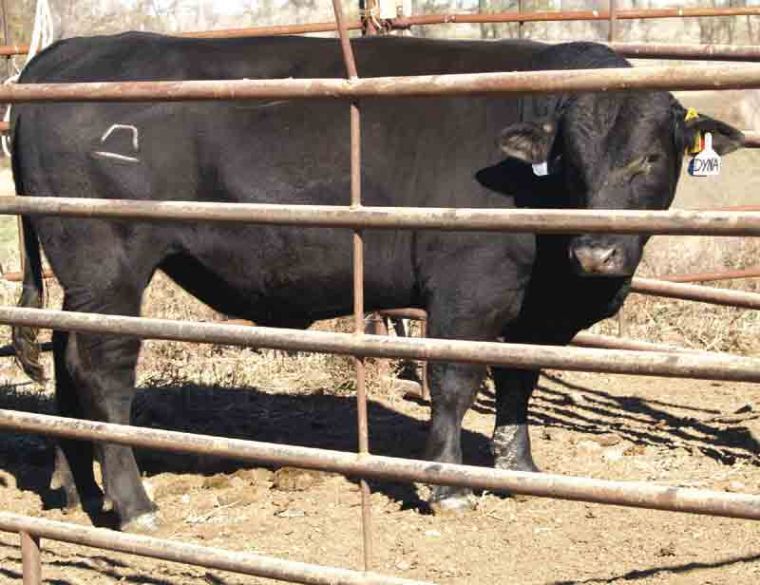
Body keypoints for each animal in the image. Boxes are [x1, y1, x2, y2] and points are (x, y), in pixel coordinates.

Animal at [10, 34, 742, 530]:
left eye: (651, 157)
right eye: (570, 157)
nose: (595, 252)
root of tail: (60, 57)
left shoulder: (535, 312)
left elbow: (517, 380)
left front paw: (519, 469)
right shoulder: (467, 290)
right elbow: (454, 381)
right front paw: (446, 484)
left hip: (83, 279)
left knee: (66, 356)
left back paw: (77, 488)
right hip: (110, 264)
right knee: (103, 369)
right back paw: (134, 501)